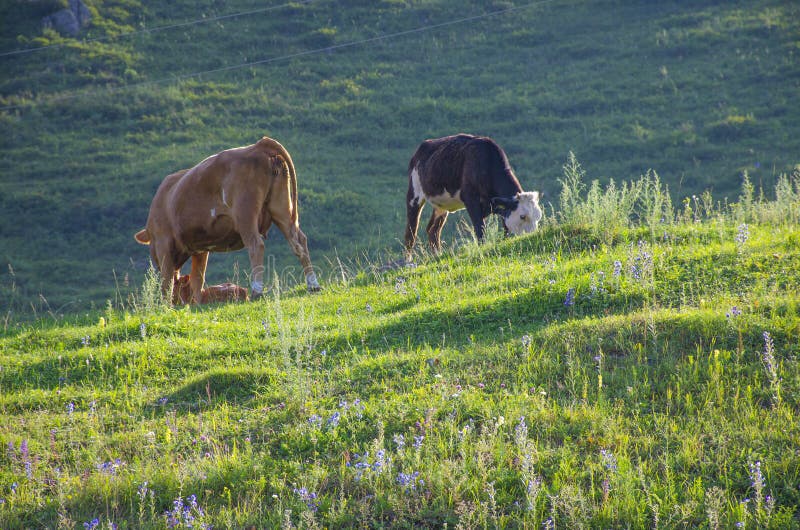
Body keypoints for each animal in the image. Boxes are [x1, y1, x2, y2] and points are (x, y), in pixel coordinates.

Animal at [134, 136, 320, 304]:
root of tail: (258, 145)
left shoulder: (163, 243)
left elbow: (167, 280)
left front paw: (166, 305)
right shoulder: (201, 248)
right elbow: (197, 278)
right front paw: (197, 303)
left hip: (245, 214)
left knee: (256, 245)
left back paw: (257, 291)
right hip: (281, 208)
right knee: (299, 241)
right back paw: (313, 285)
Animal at [404, 133, 542, 256]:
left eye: (538, 216)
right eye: (522, 216)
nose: (533, 235)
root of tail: (423, 146)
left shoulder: (494, 205)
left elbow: (504, 227)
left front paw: (504, 240)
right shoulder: (470, 198)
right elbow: (480, 227)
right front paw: (482, 247)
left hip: (441, 205)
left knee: (433, 230)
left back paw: (437, 255)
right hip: (414, 195)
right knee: (411, 233)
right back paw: (409, 262)